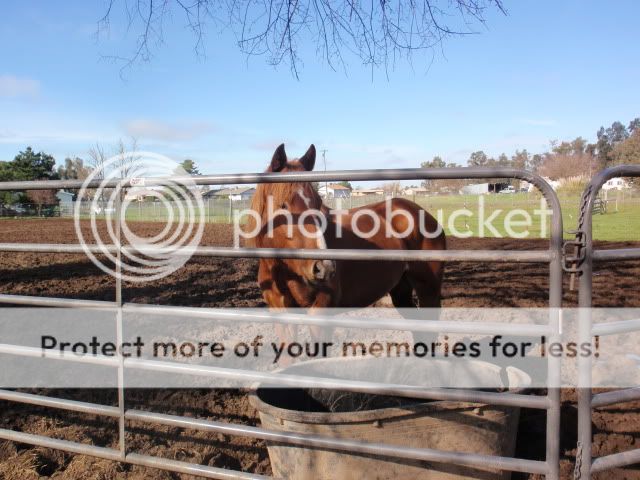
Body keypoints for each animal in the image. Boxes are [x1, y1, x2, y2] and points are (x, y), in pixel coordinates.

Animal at [246, 143, 446, 346]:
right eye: (283, 205)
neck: (286, 272)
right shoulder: (282, 317)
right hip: (401, 289)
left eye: (318, 203)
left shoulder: (321, 314)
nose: (324, 268)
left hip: (428, 288)